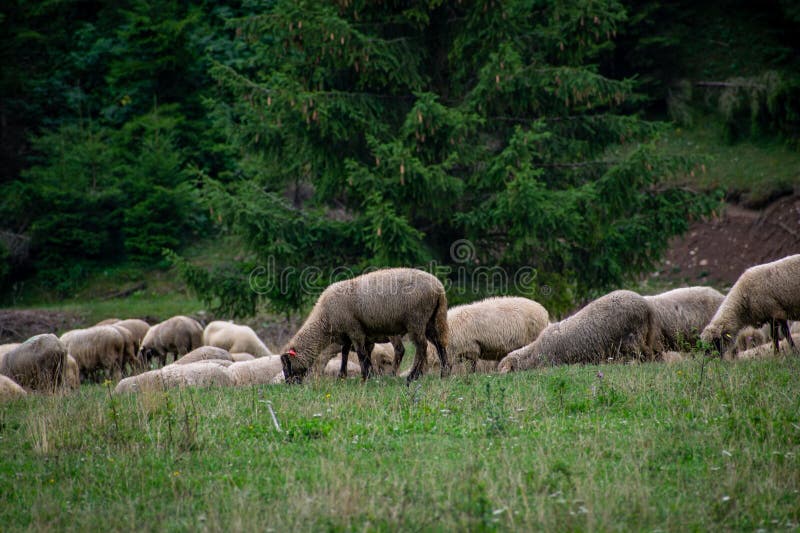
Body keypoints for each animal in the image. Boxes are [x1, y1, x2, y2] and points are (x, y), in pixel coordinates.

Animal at [280, 268, 449, 384]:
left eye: (287, 364)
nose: (289, 384)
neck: (324, 320)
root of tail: (439, 288)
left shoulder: (355, 330)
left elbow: (361, 354)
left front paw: (365, 377)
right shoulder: (348, 333)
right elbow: (346, 353)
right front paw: (343, 376)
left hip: (416, 320)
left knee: (421, 347)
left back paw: (412, 377)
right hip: (431, 320)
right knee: (439, 344)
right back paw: (444, 374)